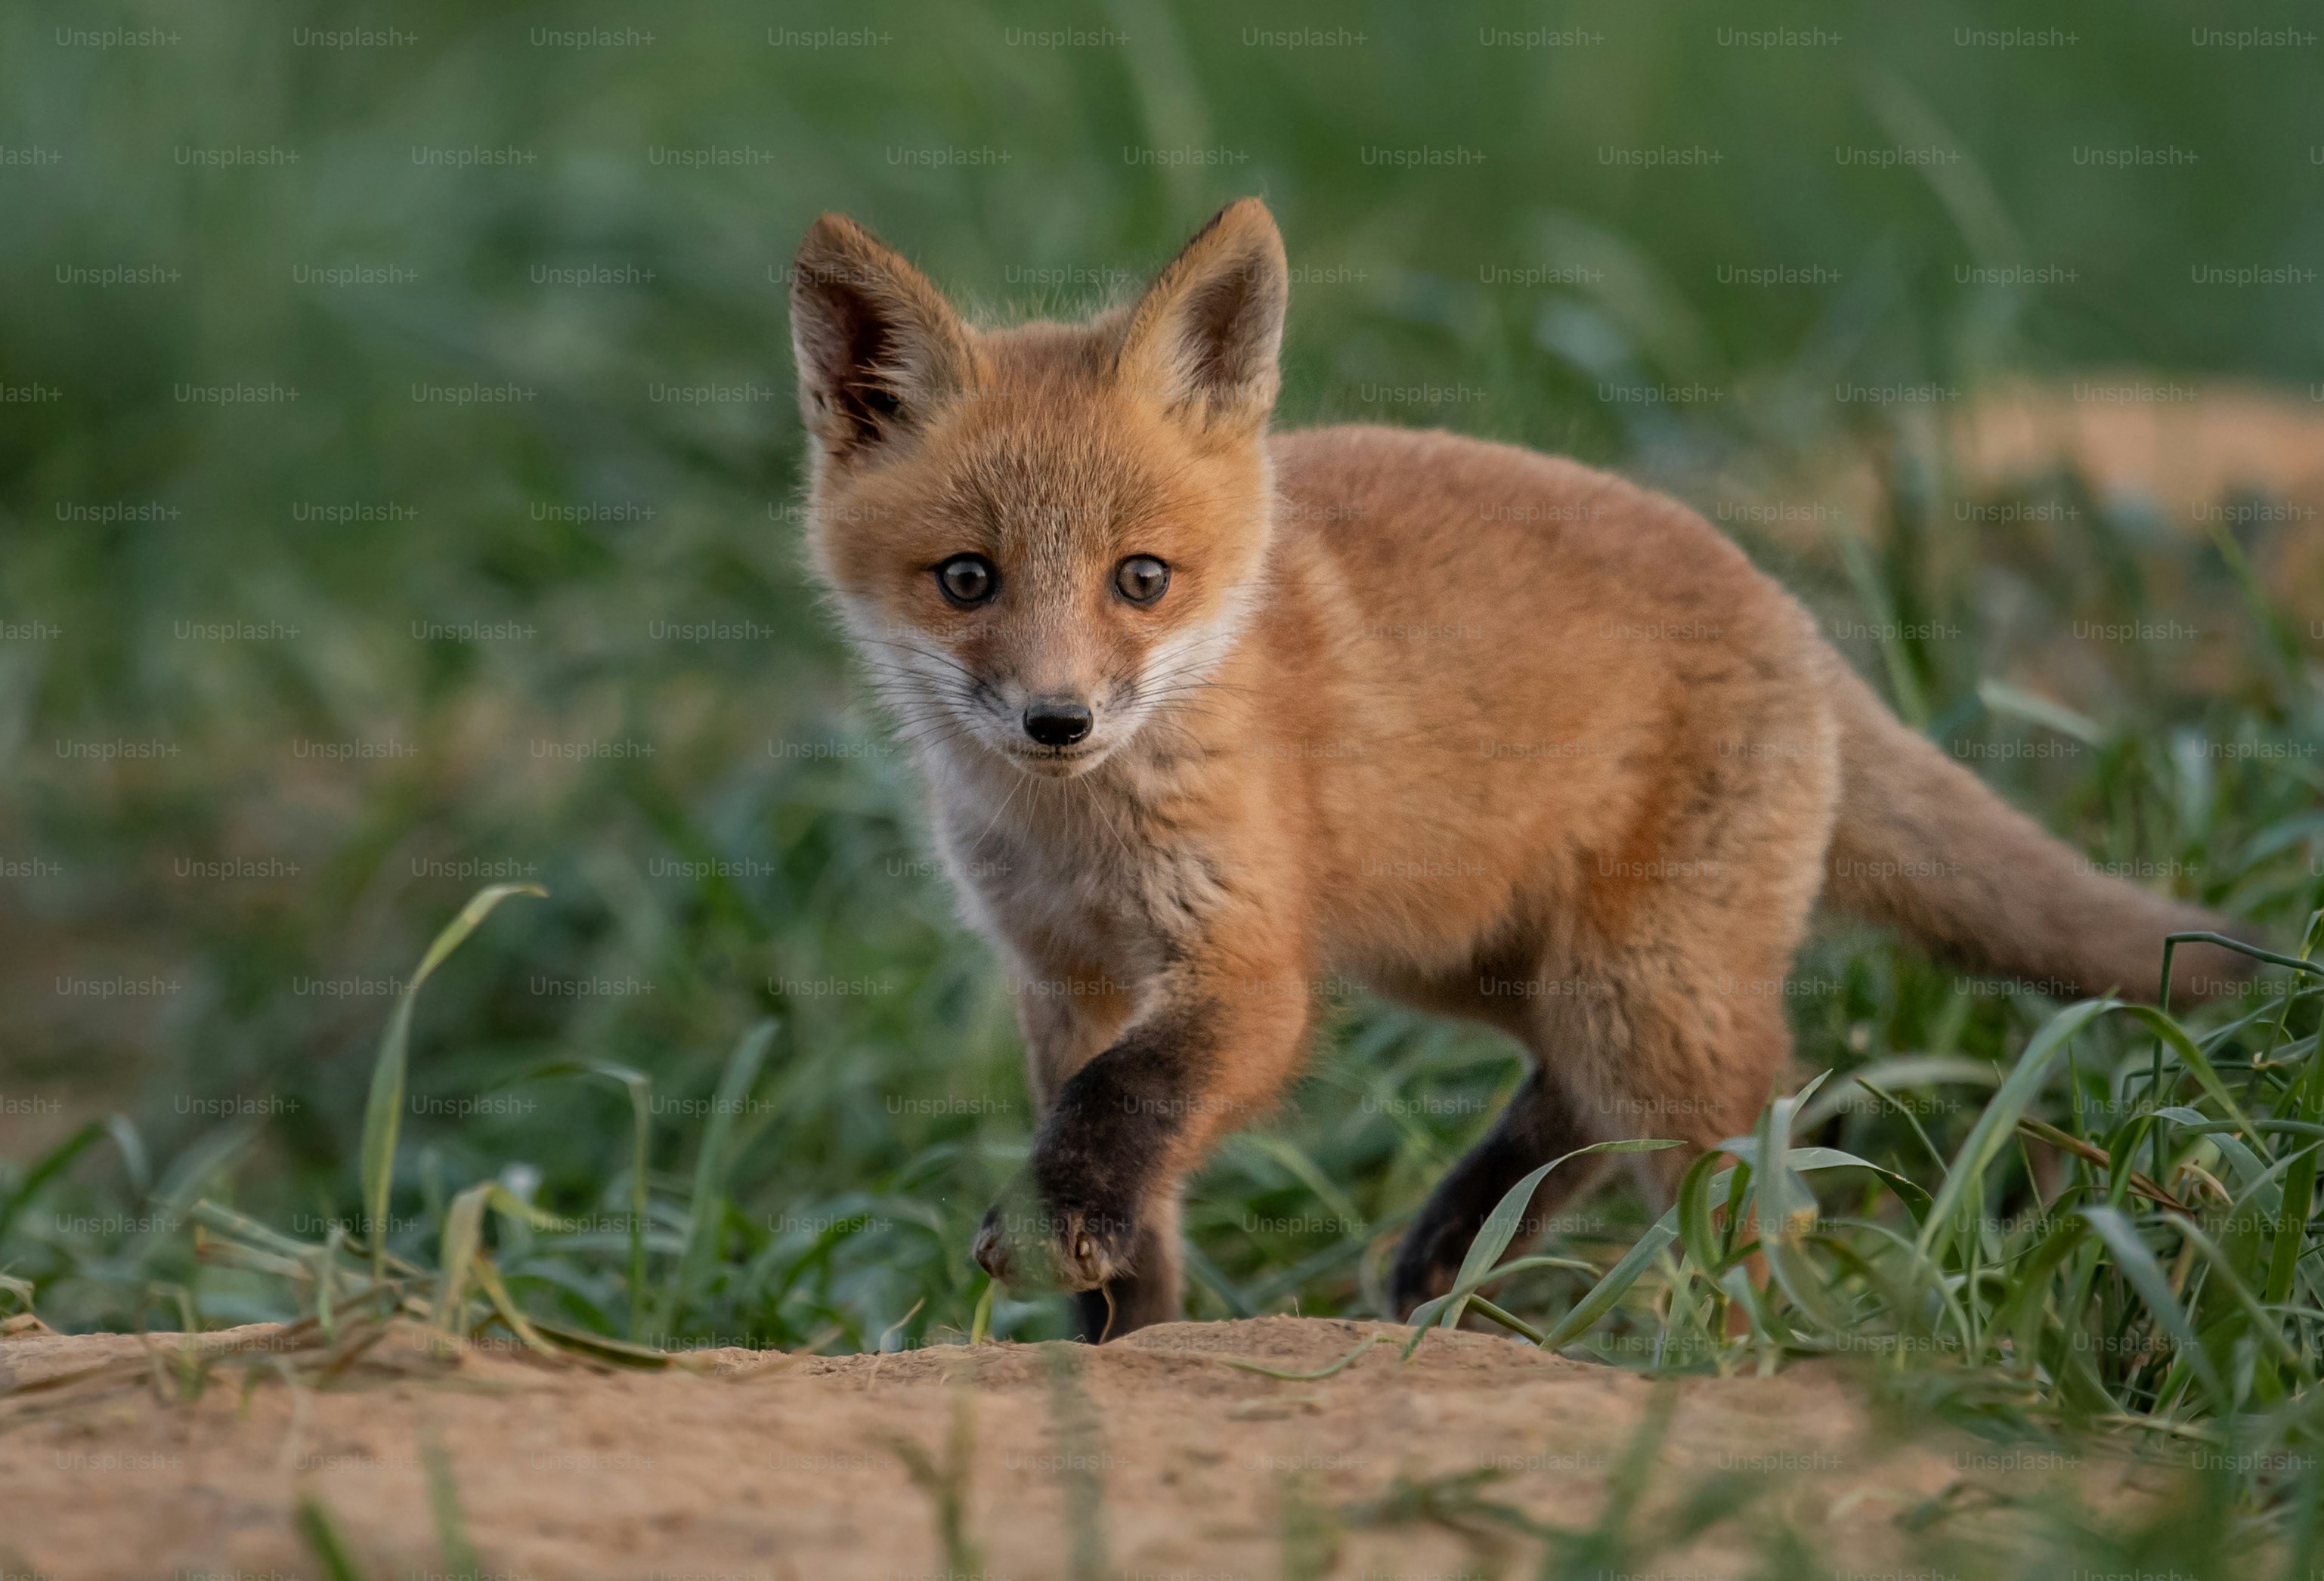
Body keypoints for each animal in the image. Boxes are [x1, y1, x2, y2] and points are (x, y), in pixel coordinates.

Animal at [787, 198, 2257, 1341]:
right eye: (965, 580)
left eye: (1140, 580)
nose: (1059, 720)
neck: (1077, 836)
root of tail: (1788, 608)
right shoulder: (1062, 978)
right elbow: (1127, 1171)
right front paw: (1122, 1335)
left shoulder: (1252, 969)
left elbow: (1130, 1101)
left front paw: (1069, 1240)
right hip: (1479, 960)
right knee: (1575, 1093)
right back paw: (1461, 1245)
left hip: (1641, 997)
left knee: (1747, 1187)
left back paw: (1726, 1354)